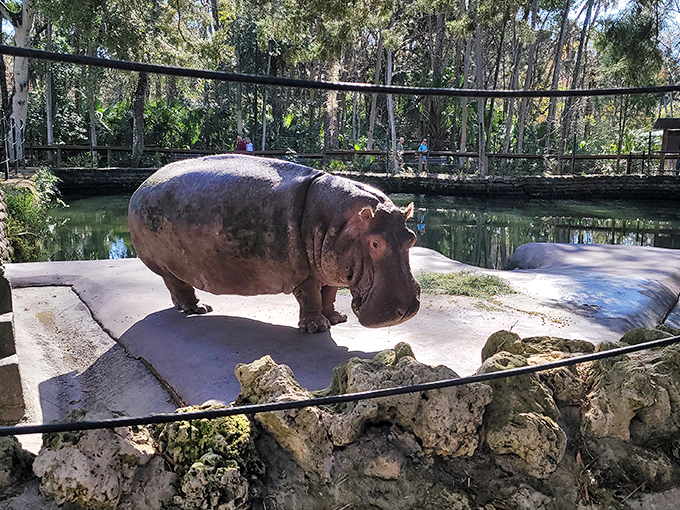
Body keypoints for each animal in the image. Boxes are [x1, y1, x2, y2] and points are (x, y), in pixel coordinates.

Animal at [128, 154, 420, 333]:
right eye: (375, 244)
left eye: (412, 238)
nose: (407, 309)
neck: (340, 221)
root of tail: (140, 187)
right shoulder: (304, 273)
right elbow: (312, 296)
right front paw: (318, 328)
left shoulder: (327, 267)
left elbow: (329, 294)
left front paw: (336, 319)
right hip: (164, 264)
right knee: (178, 285)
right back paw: (197, 309)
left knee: (176, 286)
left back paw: (184, 307)